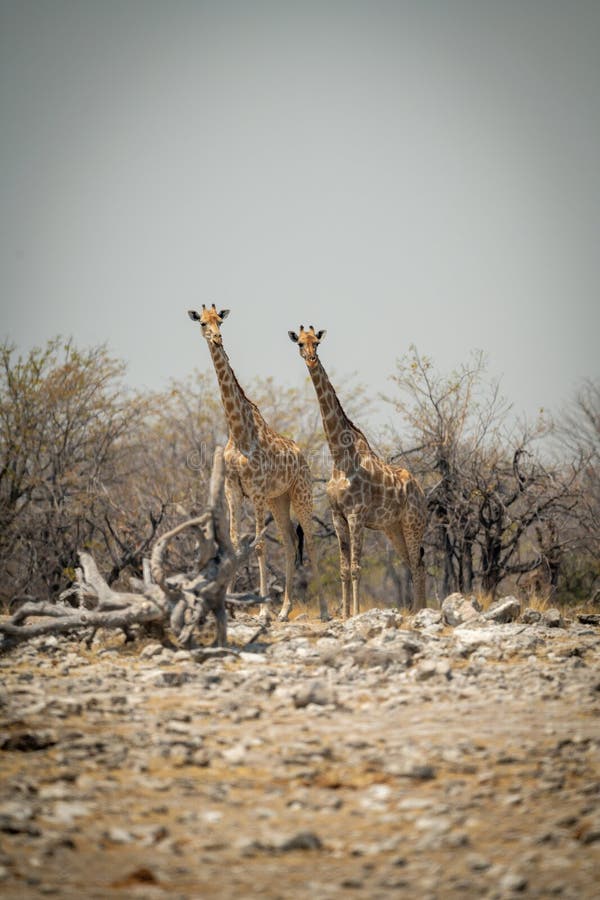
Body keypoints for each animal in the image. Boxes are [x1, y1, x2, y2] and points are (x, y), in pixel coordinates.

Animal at [188, 306, 329, 622]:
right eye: (202, 322)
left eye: (220, 320)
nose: (216, 338)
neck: (239, 432)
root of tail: (302, 457)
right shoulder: (233, 489)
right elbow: (234, 542)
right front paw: (228, 605)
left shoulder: (257, 491)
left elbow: (260, 545)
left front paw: (263, 609)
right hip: (279, 499)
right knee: (289, 542)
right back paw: (285, 609)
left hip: (300, 494)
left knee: (311, 542)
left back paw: (323, 612)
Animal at [289, 325, 427, 616]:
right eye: (300, 343)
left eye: (317, 342)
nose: (311, 359)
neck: (340, 456)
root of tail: (422, 492)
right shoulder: (337, 516)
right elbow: (343, 569)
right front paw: (344, 614)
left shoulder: (356, 515)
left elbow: (355, 568)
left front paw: (354, 612)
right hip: (392, 527)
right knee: (414, 563)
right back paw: (414, 610)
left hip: (413, 522)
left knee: (418, 564)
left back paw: (420, 610)